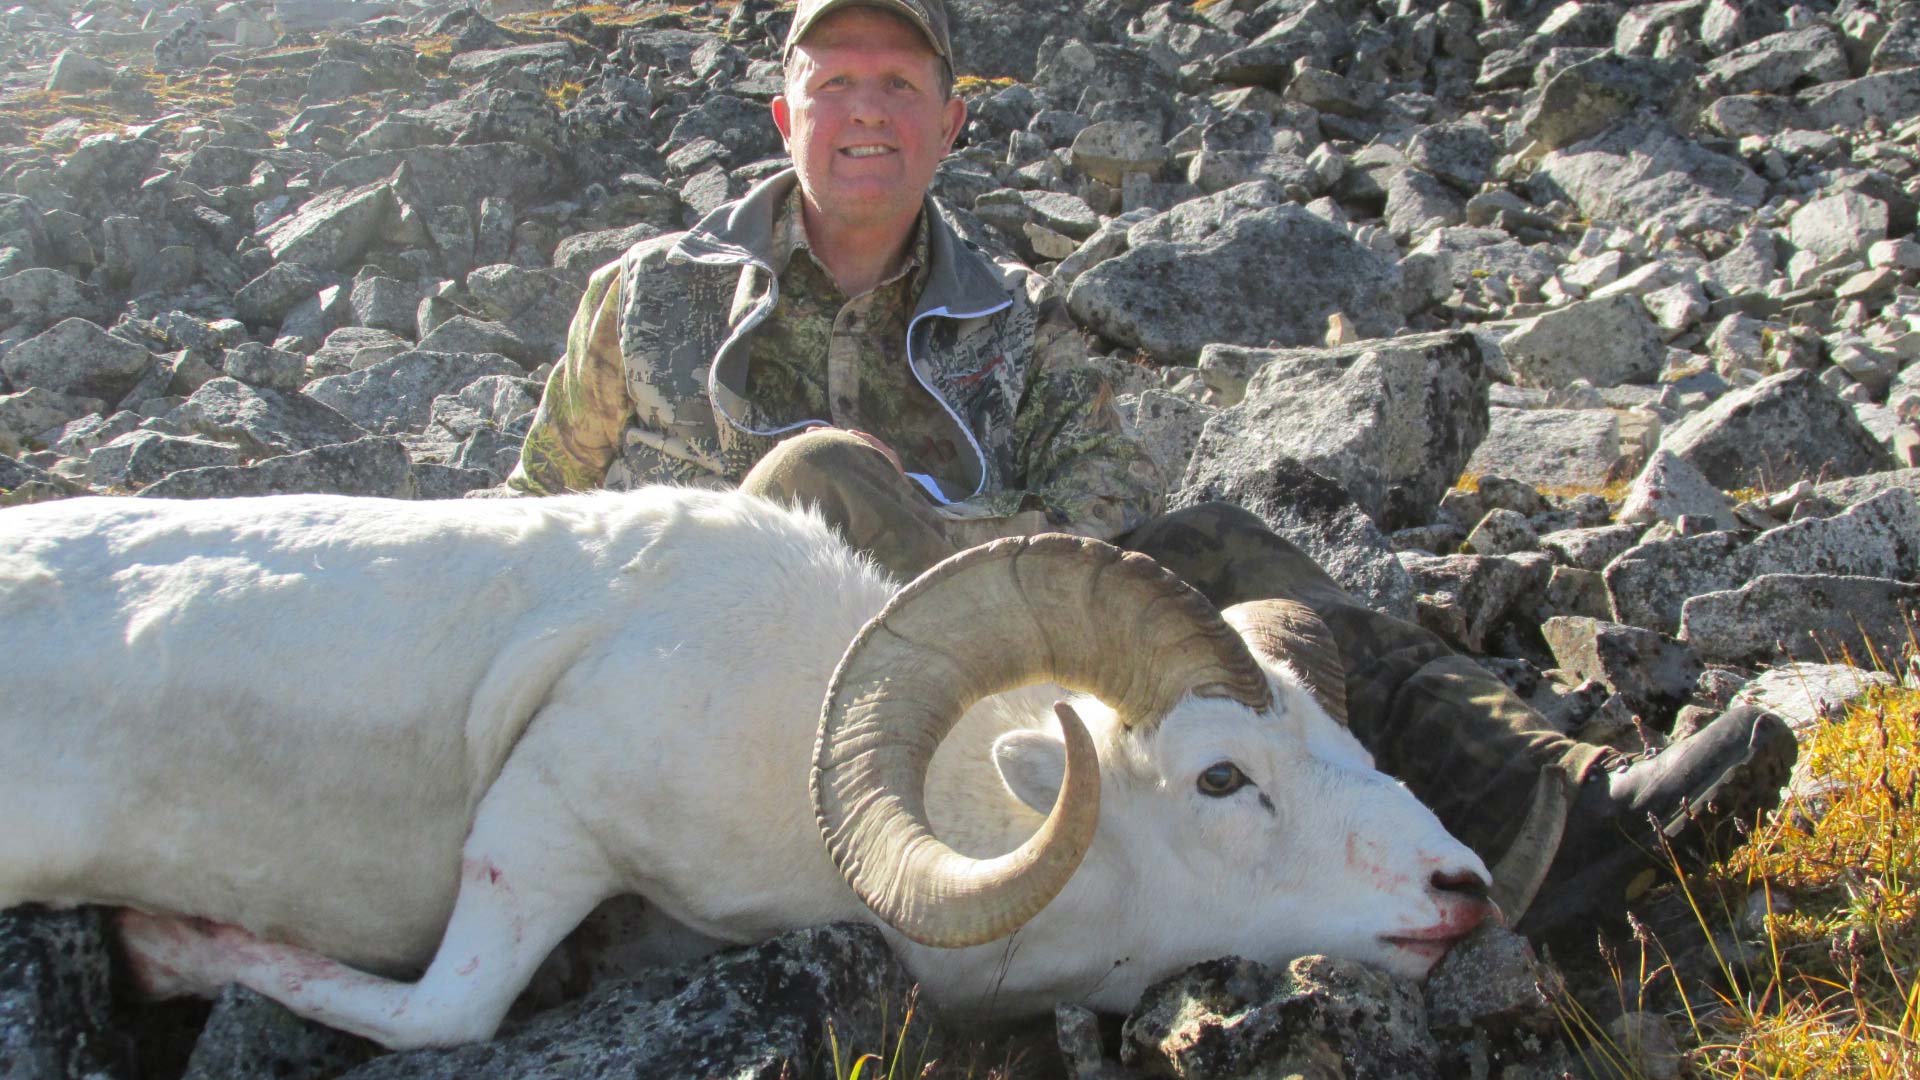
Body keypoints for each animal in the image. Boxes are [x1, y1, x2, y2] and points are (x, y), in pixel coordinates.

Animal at [0, 486, 1494, 1049]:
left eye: (1351, 744)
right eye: (1222, 779)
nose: (1463, 889)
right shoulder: (544, 827)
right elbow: (444, 1018)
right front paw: (164, 946)